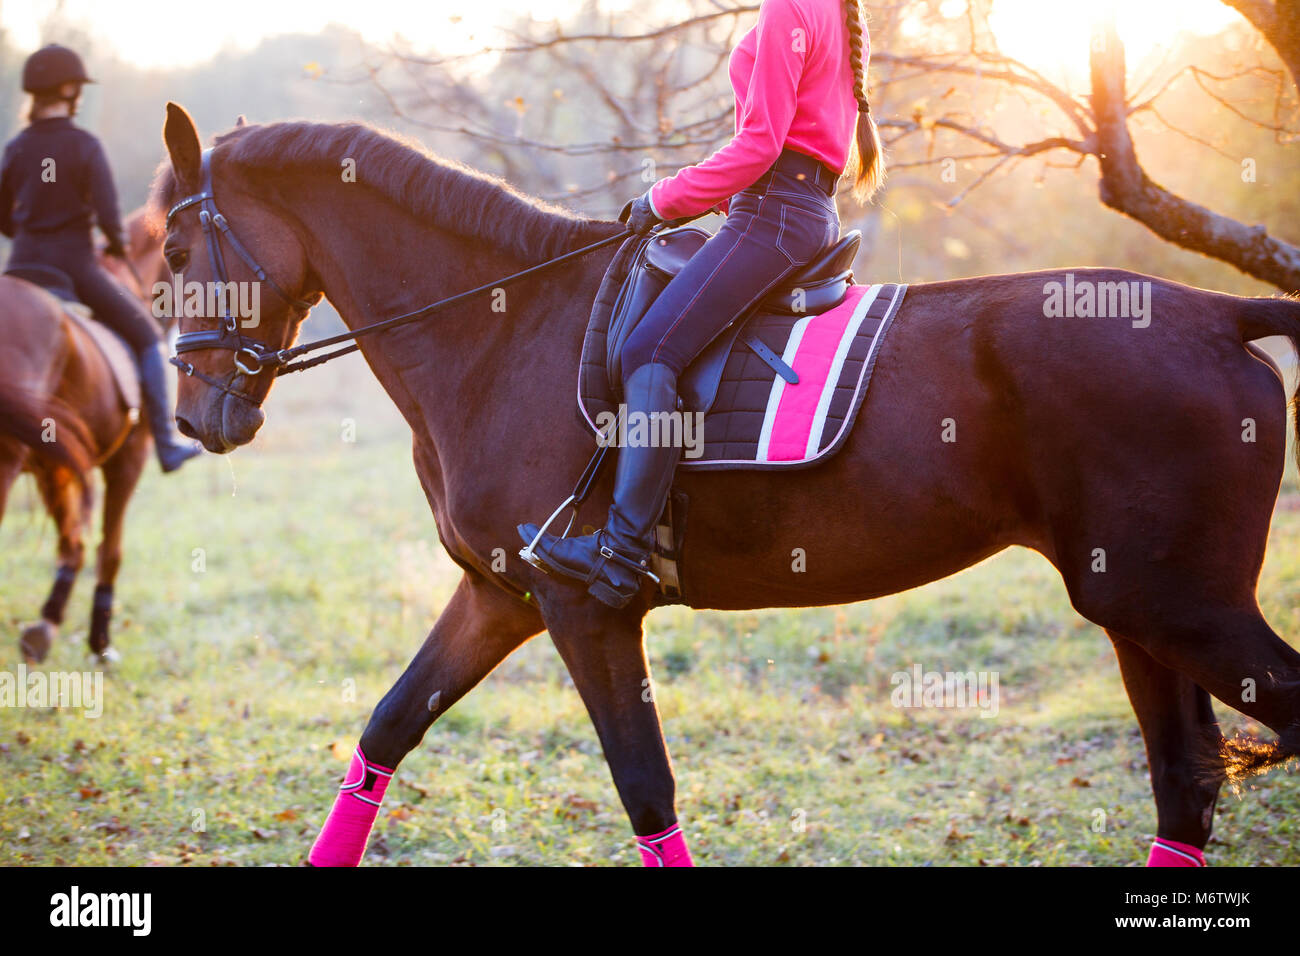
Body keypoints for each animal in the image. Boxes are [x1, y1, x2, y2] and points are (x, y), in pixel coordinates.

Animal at [0, 206, 166, 663]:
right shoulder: (128, 459)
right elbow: (110, 550)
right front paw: (100, 642)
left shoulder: (55, 467)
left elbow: (71, 543)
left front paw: (46, 624)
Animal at [153, 101, 1300, 866]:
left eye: (169, 246)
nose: (197, 417)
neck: (500, 333)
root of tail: (1219, 317)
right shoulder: (500, 596)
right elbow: (386, 729)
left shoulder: (583, 607)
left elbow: (645, 788)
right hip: (1135, 613)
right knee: (1184, 790)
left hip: (1176, 605)